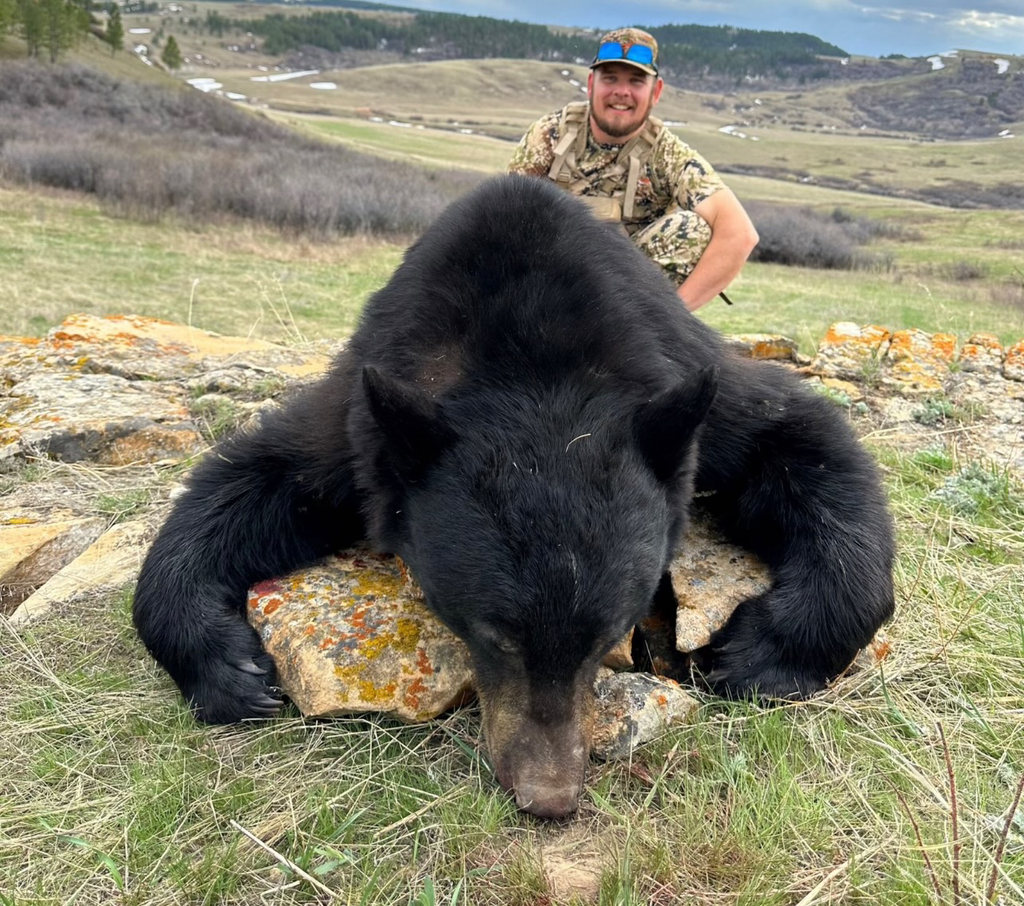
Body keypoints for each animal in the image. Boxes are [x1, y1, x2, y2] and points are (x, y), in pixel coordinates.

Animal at [133, 175, 895, 819]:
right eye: (494, 633)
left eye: (607, 636)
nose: (549, 799)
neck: (532, 359)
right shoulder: (363, 424)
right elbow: (249, 484)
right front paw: (232, 668)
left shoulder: (686, 389)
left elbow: (802, 437)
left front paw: (758, 655)